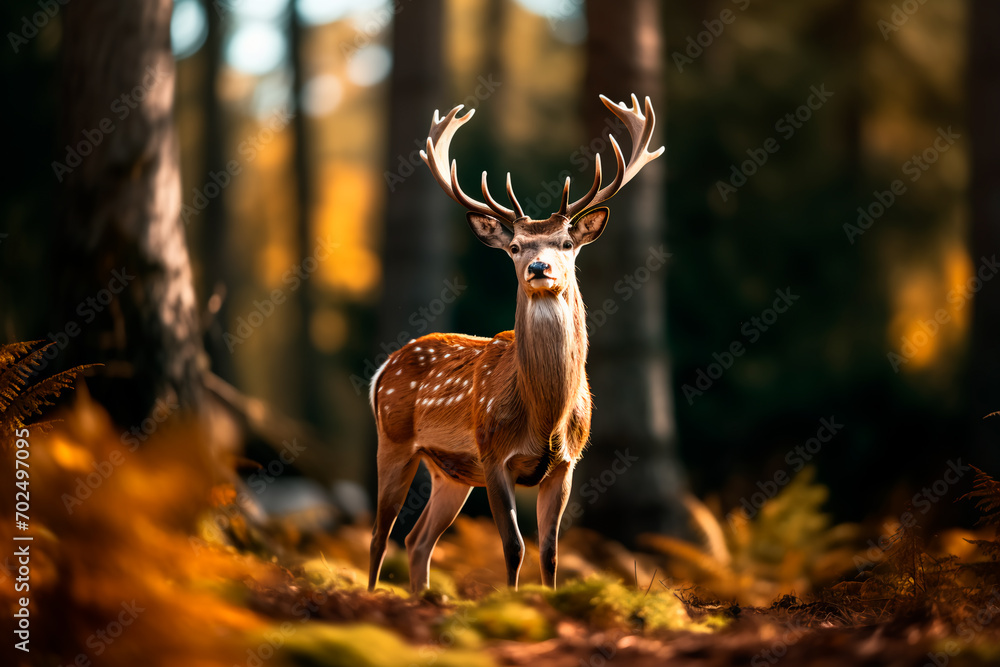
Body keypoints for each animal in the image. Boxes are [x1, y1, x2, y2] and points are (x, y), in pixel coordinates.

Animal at [368, 94, 663, 592]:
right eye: (514, 247)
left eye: (566, 243)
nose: (539, 269)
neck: (544, 416)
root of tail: (382, 369)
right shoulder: (493, 456)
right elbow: (514, 546)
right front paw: (511, 599)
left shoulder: (566, 464)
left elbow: (551, 552)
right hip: (394, 441)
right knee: (380, 535)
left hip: (449, 472)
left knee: (417, 539)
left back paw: (422, 596)